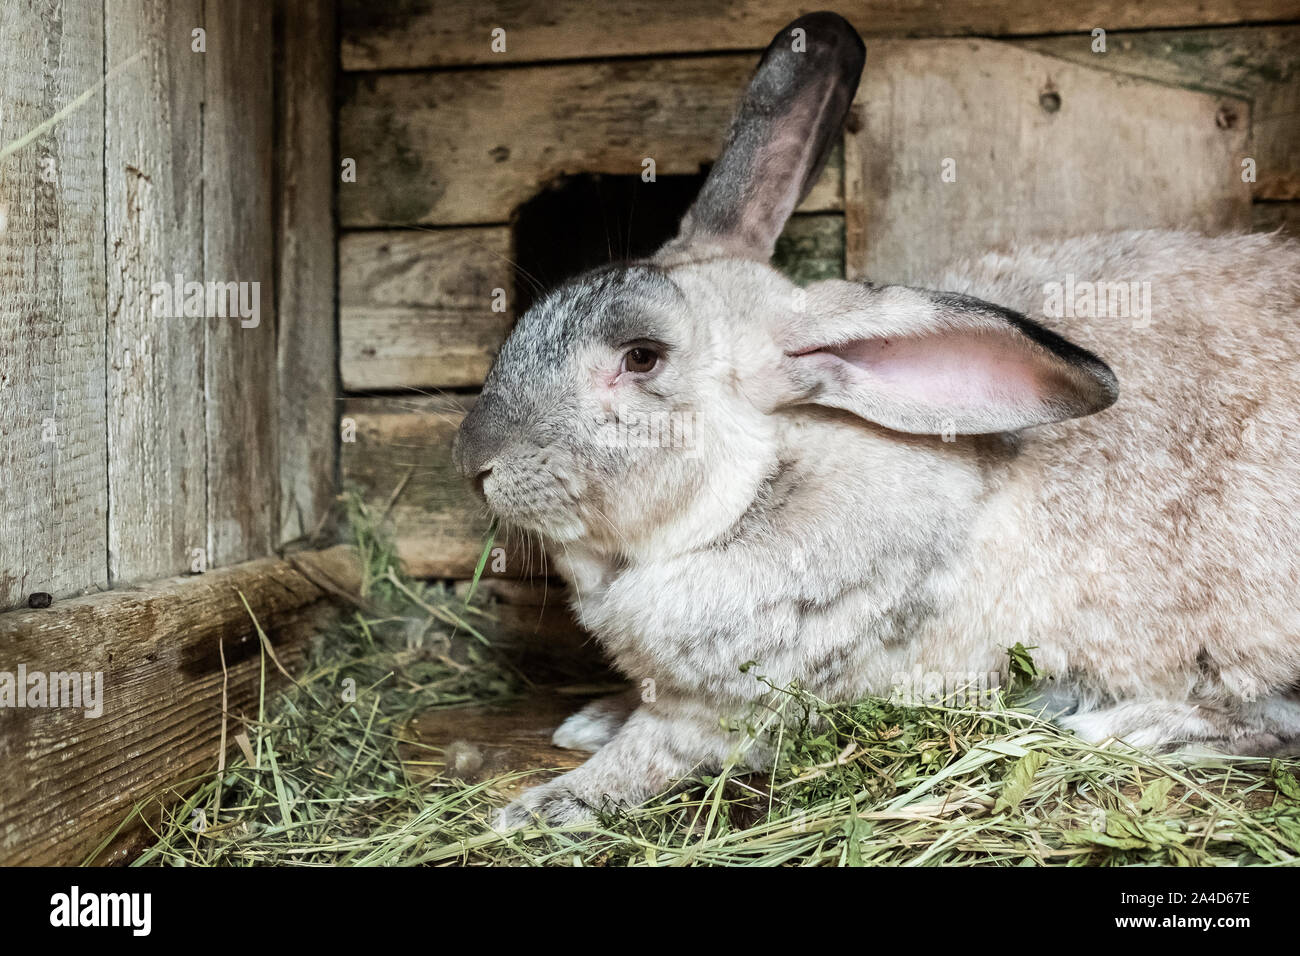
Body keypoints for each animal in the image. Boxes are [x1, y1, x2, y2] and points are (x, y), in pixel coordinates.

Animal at [452, 11, 1300, 828]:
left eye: (641, 359)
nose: (471, 461)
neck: (764, 481)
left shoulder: (738, 710)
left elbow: (649, 754)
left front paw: (541, 806)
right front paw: (589, 718)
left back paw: (1127, 725)